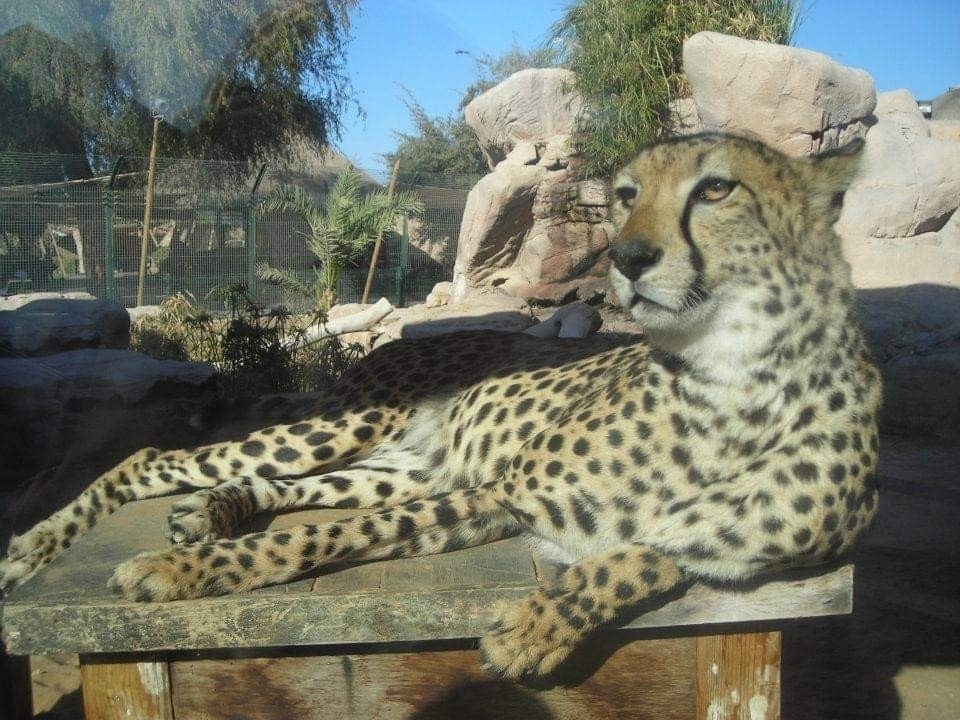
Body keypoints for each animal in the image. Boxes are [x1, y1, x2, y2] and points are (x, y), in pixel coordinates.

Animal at [0, 132, 882, 679]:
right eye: (626, 194)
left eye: (717, 188)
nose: (627, 258)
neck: (730, 385)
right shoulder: (500, 494)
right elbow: (320, 538)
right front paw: (176, 572)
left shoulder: (689, 545)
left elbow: (630, 562)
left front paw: (537, 628)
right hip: (350, 429)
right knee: (162, 456)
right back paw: (36, 547)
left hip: (407, 466)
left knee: (289, 488)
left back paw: (211, 511)